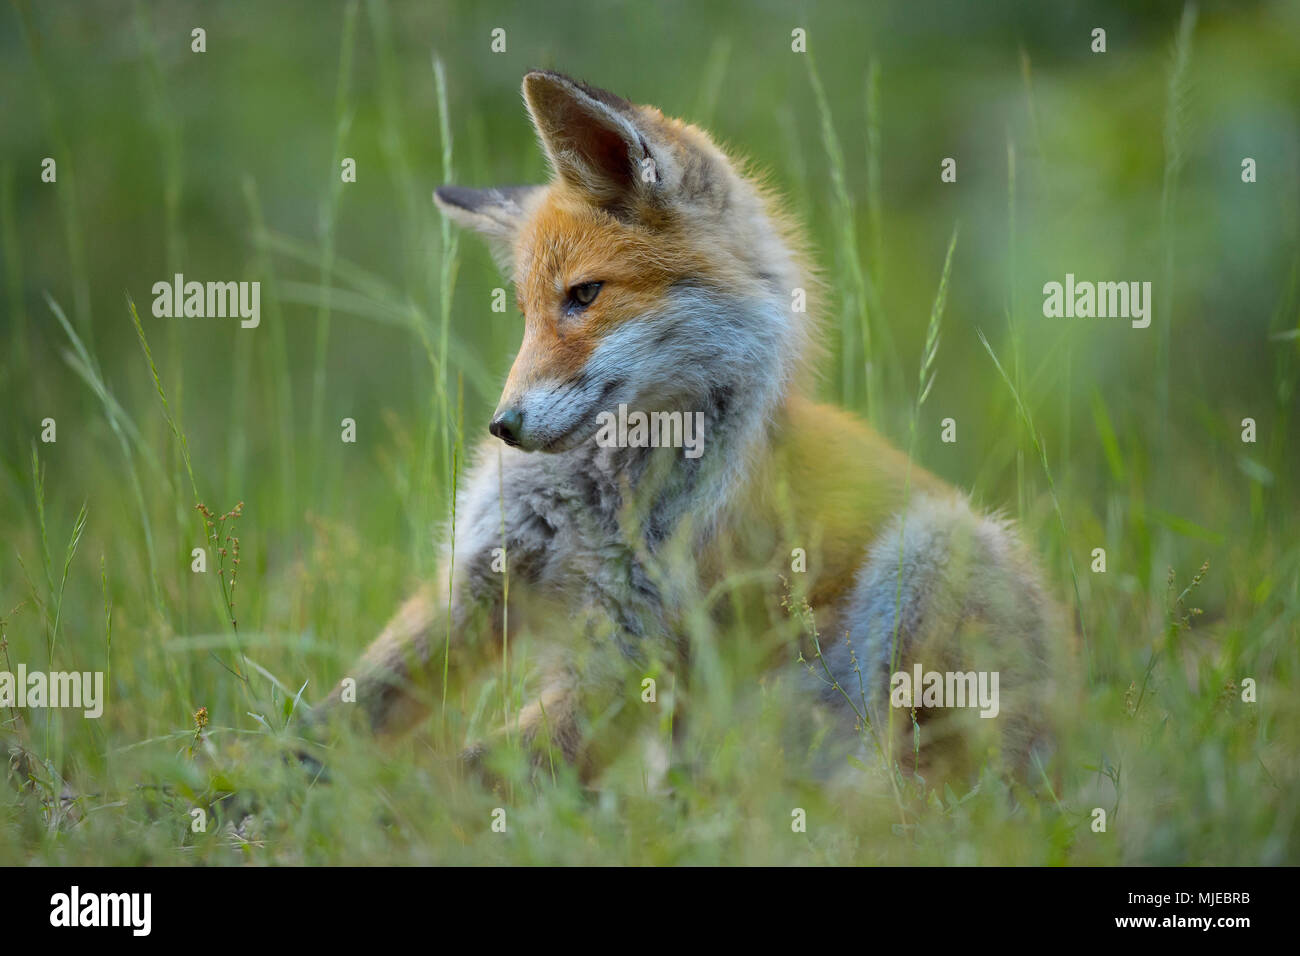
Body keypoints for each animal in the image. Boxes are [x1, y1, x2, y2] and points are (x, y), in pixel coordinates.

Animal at [314, 70, 1067, 786]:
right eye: (525, 312)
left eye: (584, 295)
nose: (504, 426)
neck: (592, 501)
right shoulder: (479, 574)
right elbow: (346, 706)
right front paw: (293, 773)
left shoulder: (628, 652)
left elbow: (469, 775)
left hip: (932, 550)